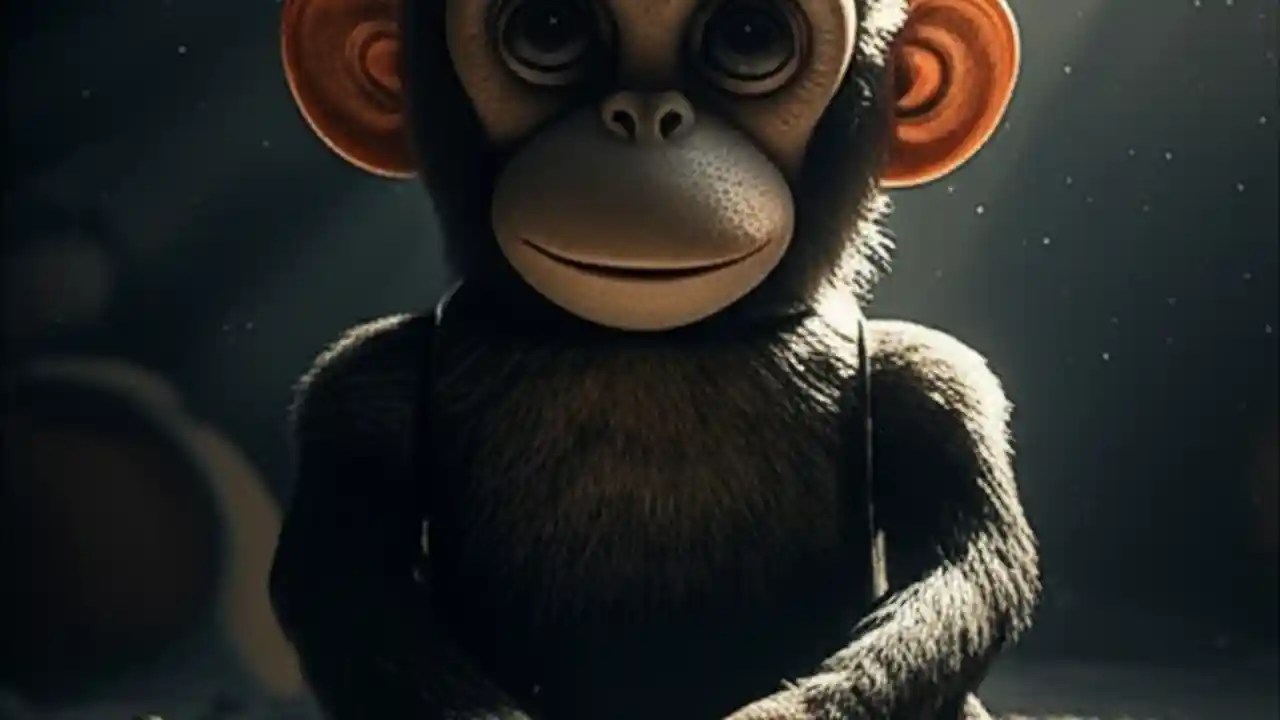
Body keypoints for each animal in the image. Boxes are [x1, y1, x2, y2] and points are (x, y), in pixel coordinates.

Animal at [269, 0, 1040, 718]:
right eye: (547, 29)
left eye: (751, 36)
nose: (645, 117)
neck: (651, 340)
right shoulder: (361, 390)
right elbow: (344, 581)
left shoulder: (932, 383)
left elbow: (967, 569)